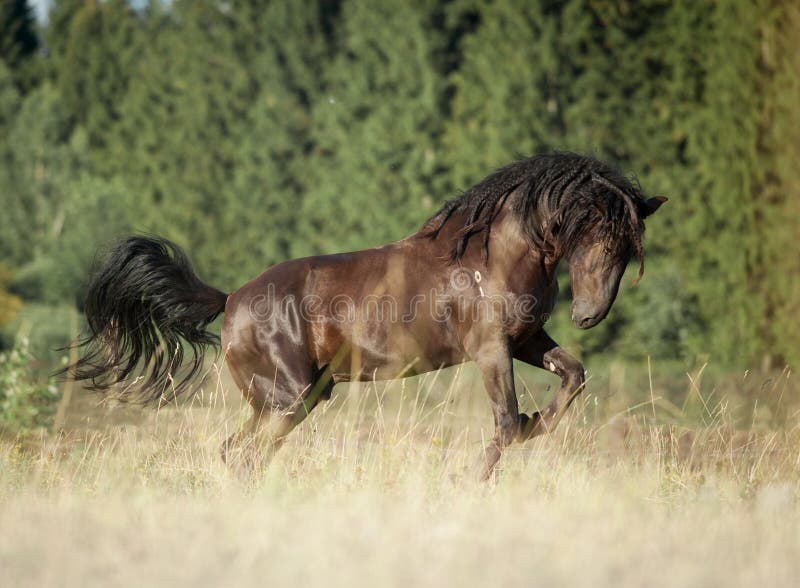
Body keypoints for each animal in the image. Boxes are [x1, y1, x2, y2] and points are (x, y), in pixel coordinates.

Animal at [65, 152, 666, 480]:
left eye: (630, 249)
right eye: (597, 235)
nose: (589, 315)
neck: (493, 254)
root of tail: (230, 299)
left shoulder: (526, 339)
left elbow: (573, 377)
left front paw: (538, 423)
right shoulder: (491, 350)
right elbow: (505, 423)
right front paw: (474, 475)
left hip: (280, 400)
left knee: (236, 452)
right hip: (292, 398)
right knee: (248, 455)